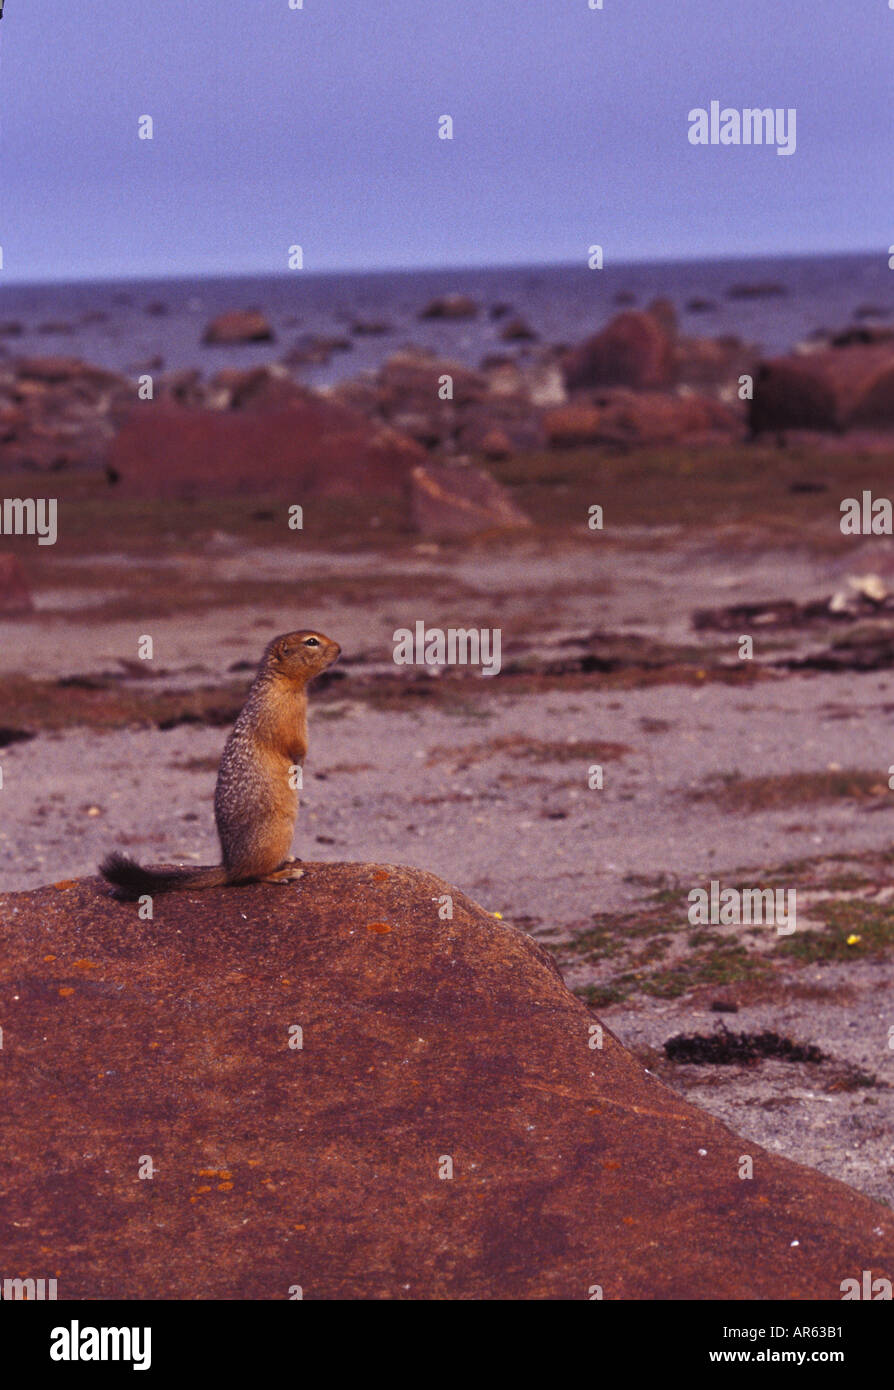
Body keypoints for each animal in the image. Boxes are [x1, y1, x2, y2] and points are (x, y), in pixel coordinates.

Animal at [100, 629, 341, 899]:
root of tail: (230, 866)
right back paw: (282, 874)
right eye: (311, 641)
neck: (282, 683)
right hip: (277, 834)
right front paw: (300, 768)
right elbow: (295, 746)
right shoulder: (286, 719)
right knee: (252, 875)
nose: (340, 649)